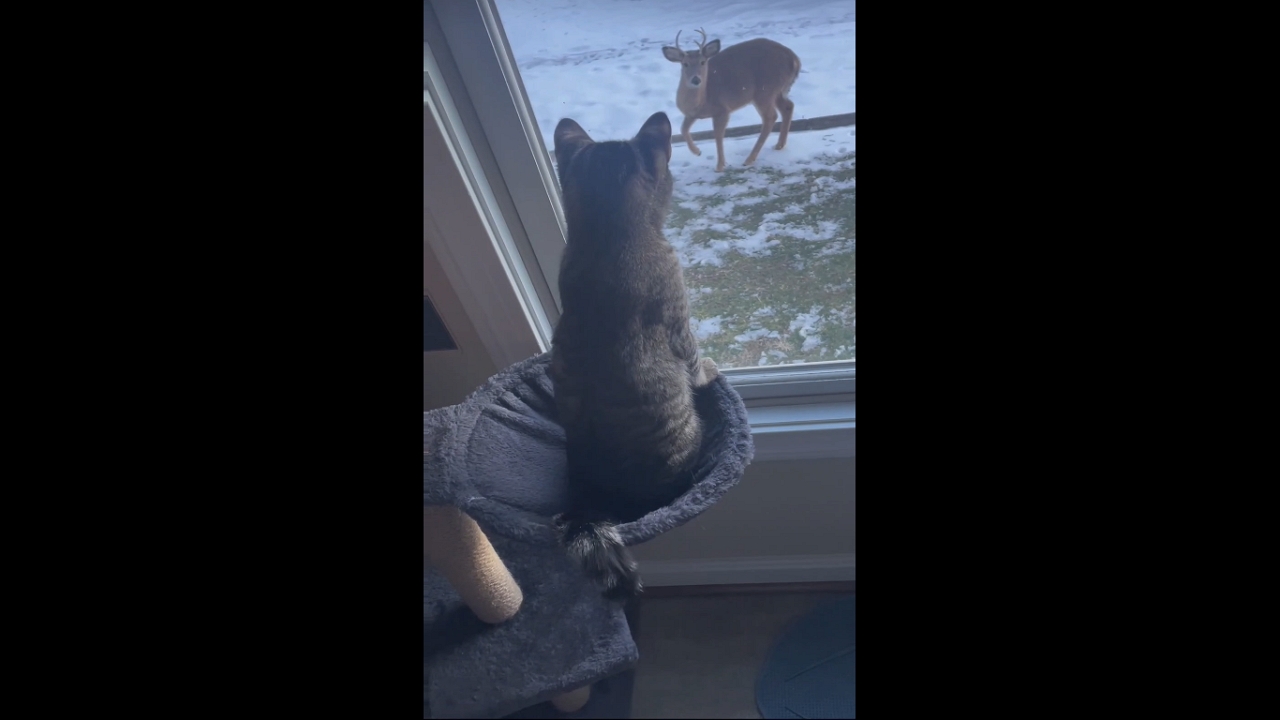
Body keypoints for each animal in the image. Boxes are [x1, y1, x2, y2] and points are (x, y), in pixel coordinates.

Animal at [661, 28, 801, 172]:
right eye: (685, 64)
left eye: (702, 62)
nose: (696, 80)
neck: (702, 101)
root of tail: (794, 59)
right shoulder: (691, 114)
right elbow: (683, 129)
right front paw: (697, 151)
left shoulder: (722, 110)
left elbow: (718, 136)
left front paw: (720, 165)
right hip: (778, 91)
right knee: (788, 107)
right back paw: (779, 145)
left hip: (765, 90)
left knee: (771, 117)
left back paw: (749, 159)